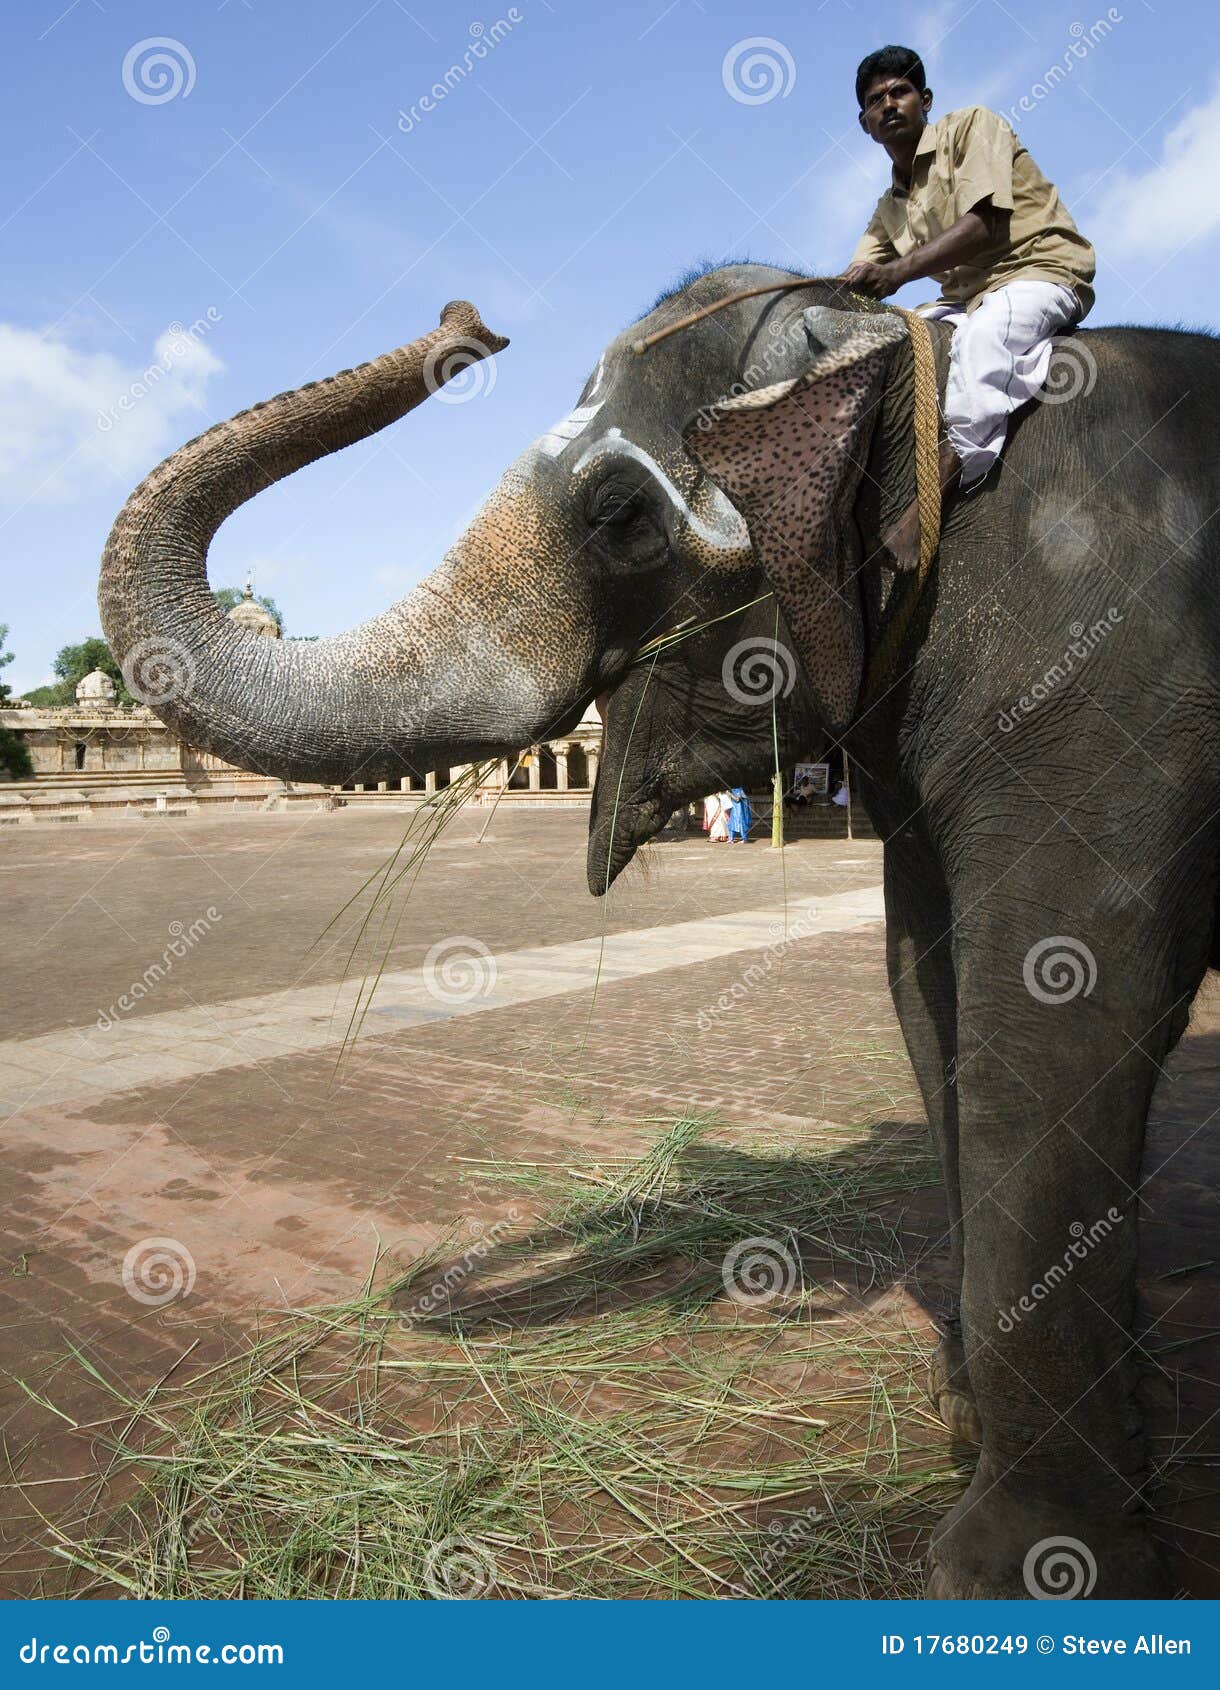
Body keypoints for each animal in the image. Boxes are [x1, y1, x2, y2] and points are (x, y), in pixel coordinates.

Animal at [99, 267, 1220, 1600]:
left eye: (620, 515)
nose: (469, 324)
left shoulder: (1109, 671)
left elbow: (1058, 1007)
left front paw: (1026, 1570)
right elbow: (925, 991)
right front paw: (967, 1422)